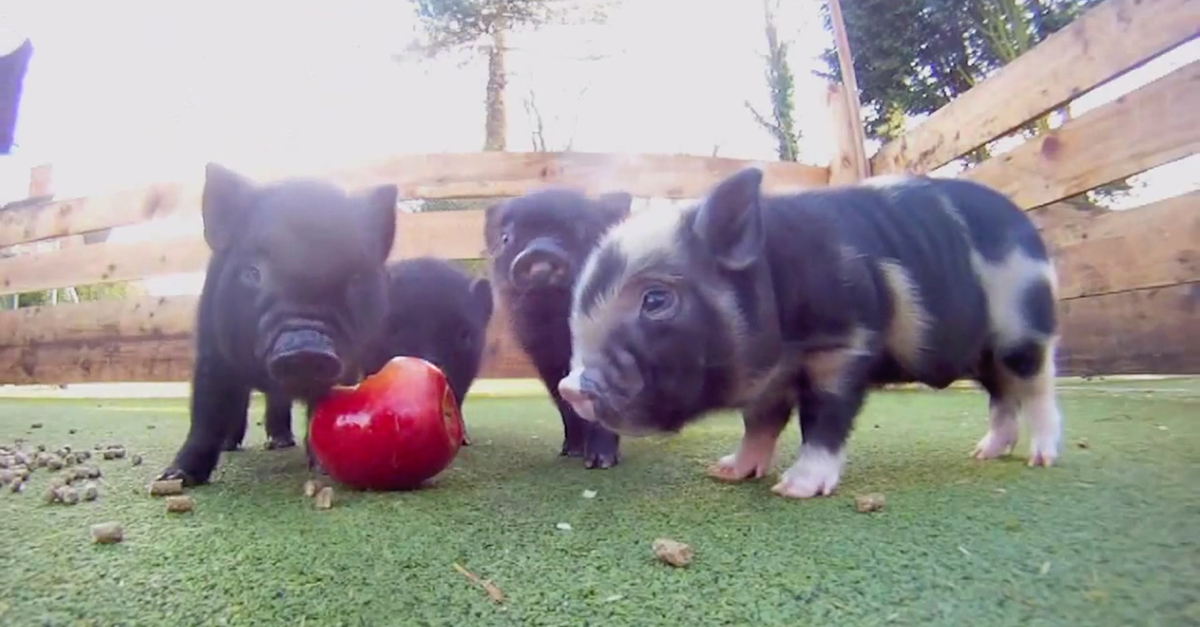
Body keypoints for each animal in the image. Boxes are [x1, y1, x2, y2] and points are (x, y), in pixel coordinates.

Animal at [157, 162, 398, 486]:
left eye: (355, 278)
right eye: (254, 272)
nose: (306, 347)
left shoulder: (348, 367)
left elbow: (321, 412)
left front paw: (322, 469)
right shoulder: (211, 352)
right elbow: (207, 414)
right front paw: (175, 477)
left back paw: (281, 441)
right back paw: (232, 445)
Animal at [485, 188, 633, 469]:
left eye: (583, 229)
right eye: (506, 237)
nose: (539, 253)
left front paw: (600, 463)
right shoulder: (545, 359)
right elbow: (563, 402)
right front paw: (570, 451)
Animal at [558, 168, 1064, 499]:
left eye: (656, 300)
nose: (570, 385)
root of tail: (1029, 229)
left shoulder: (842, 345)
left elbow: (824, 417)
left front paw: (793, 489)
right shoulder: (769, 377)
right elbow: (759, 423)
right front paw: (725, 471)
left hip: (1024, 331)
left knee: (1037, 388)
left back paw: (1042, 459)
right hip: (982, 355)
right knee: (1002, 395)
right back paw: (983, 454)